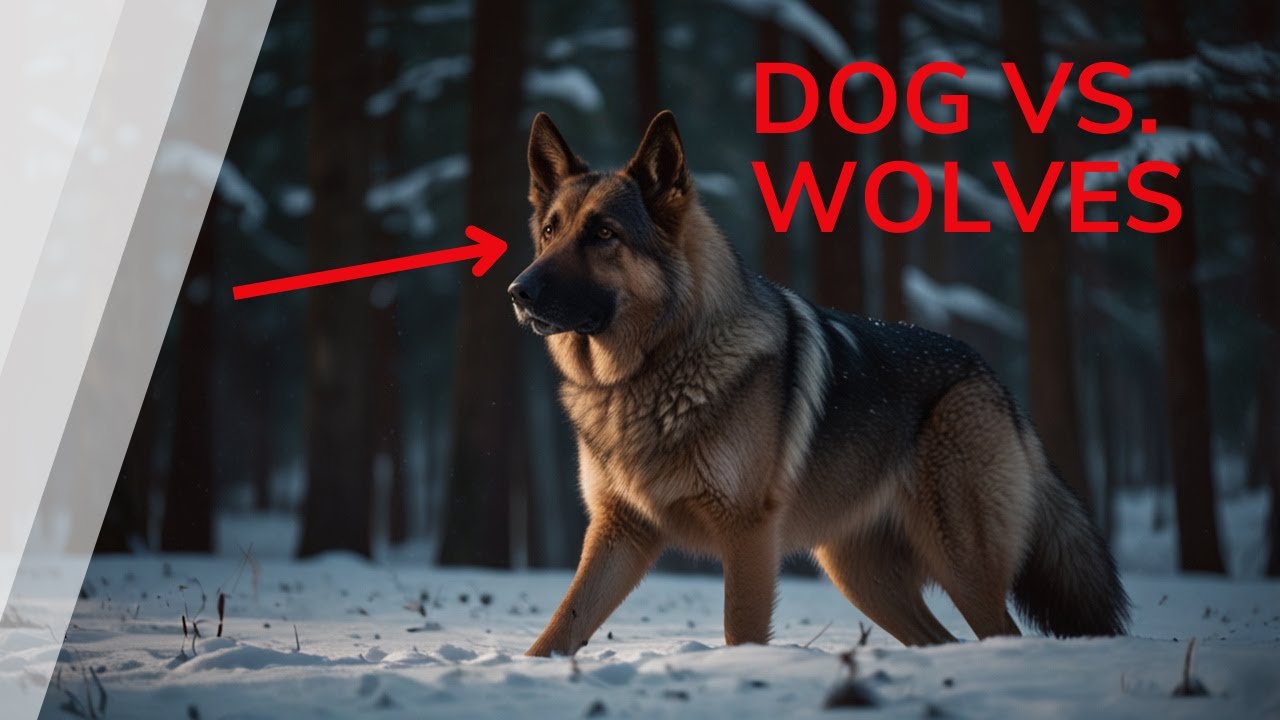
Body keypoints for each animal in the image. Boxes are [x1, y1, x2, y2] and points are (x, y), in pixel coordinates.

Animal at [511, 110, 1129, 656]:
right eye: (551, 230)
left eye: (603, 233)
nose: (518, 291)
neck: (647, 373)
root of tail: (993, 379)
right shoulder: (619, 533)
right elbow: (560, 626)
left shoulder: (748, 534)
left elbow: (740, 631)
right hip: (860, 577)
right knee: (942, 641)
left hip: (961, 568)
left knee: (1003, 634)